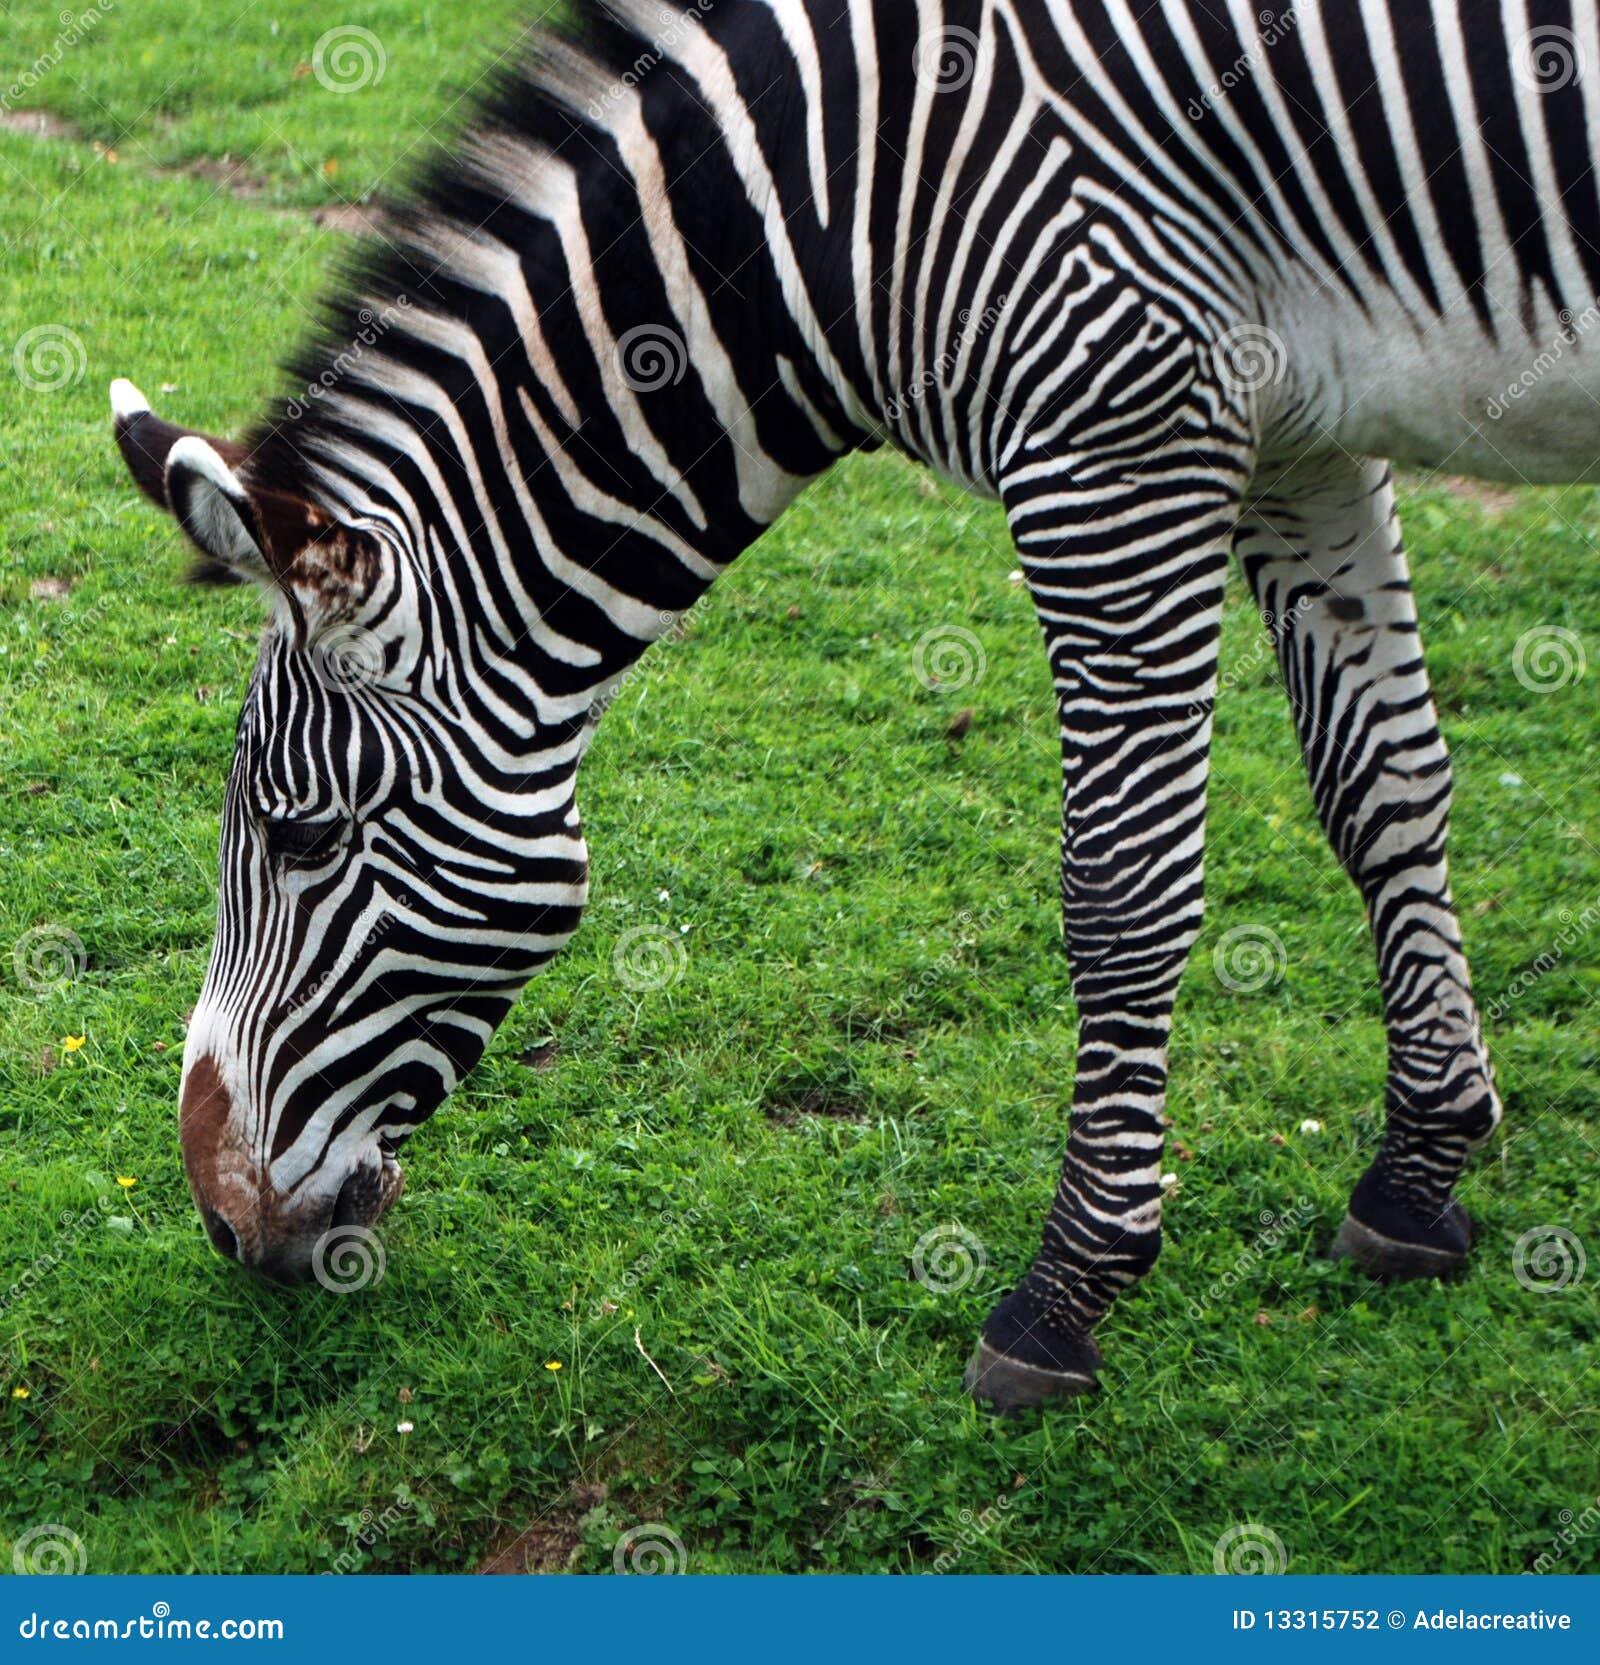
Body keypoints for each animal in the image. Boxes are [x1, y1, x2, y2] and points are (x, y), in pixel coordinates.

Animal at [110, 0, 1590, 1411]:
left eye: (301, 836)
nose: (221, 1222)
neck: (844, 193)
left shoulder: (1118, 437)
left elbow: (1123, 889)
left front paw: (1066, 1295)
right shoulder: (1299, 426)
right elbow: (1380, 787)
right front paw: (1418, 1173)